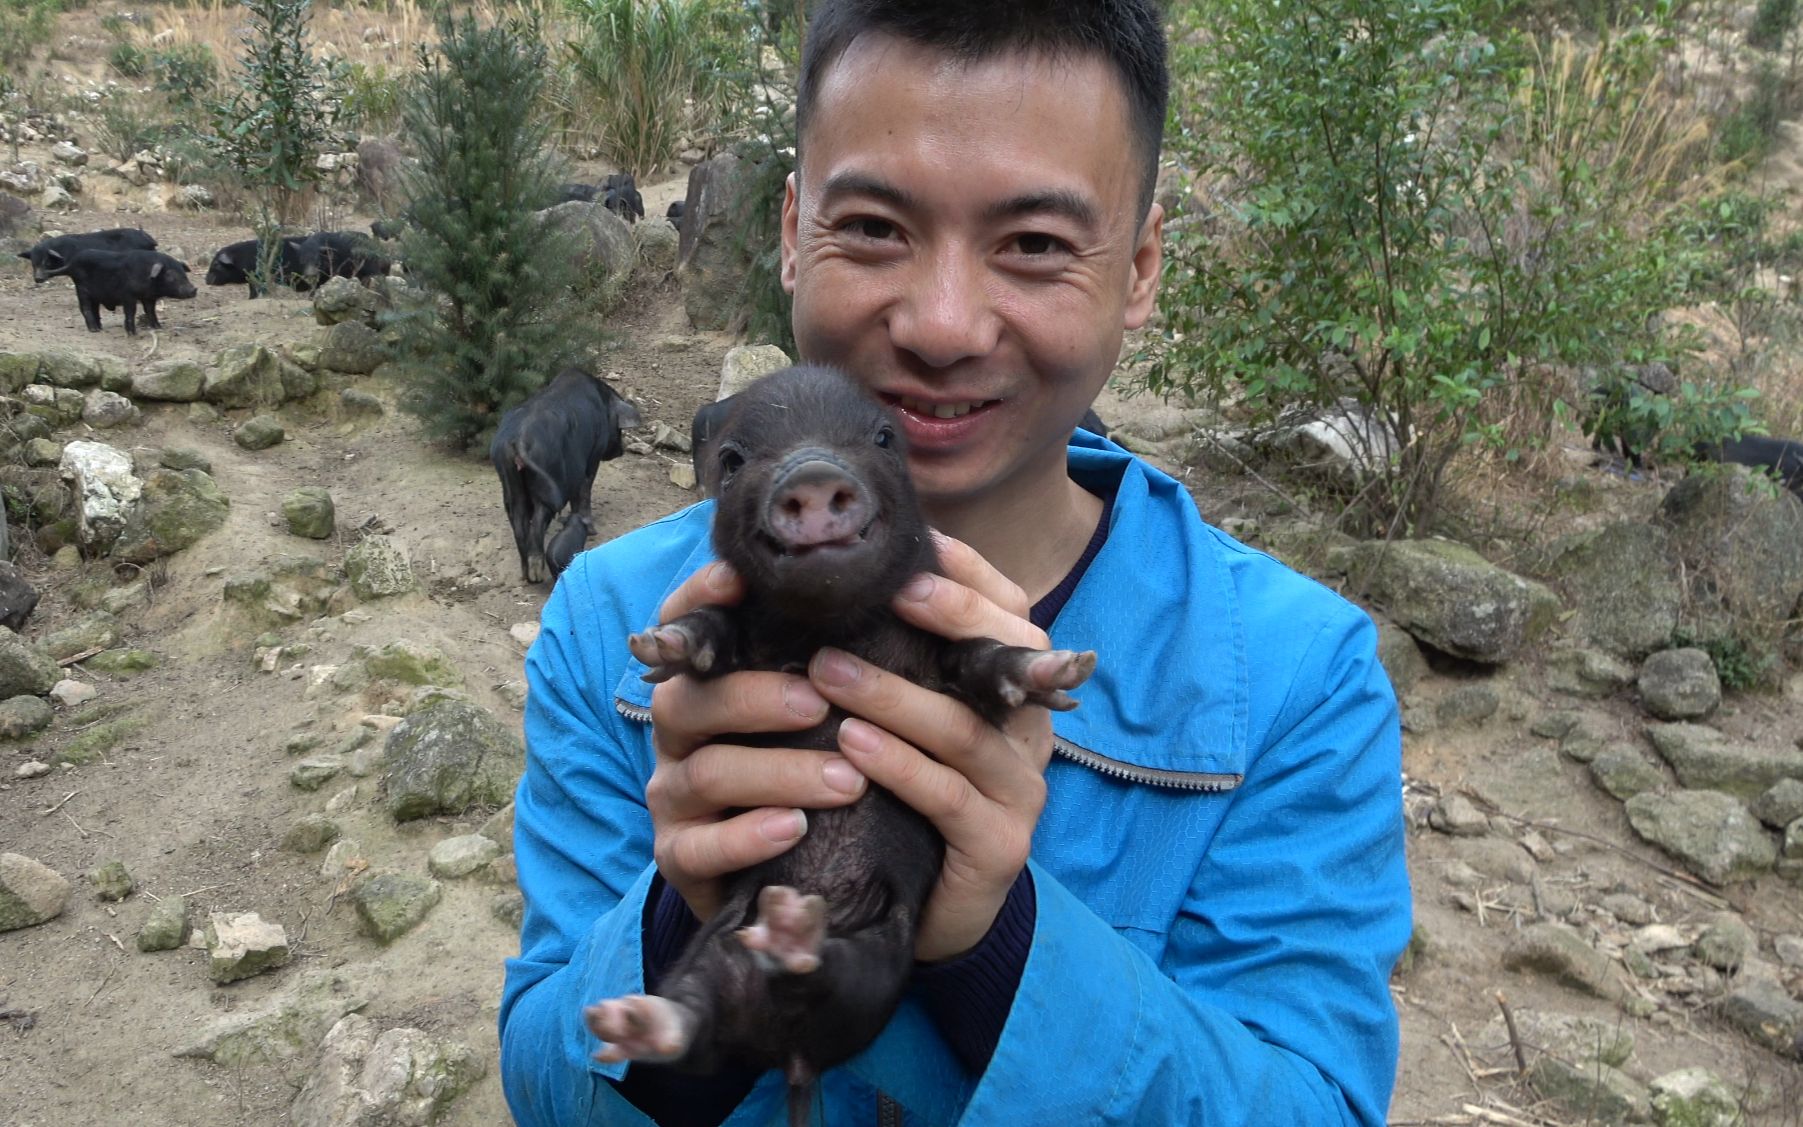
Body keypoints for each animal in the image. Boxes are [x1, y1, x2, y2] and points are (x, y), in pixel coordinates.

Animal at [46, 249, 197, 334]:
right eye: (170, 275)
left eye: (183, 273)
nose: (194, 289)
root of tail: (71, 264)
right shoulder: (128, 295)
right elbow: (130, 312)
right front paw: (132, 334)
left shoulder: (149, 297)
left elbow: (150, 311)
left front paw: (158, 328)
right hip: (81, 289)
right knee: (85, 308)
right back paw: (94, 330)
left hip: (95, 295)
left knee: (95, 309)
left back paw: (100, 327)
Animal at [589, 364, 1097, 1126]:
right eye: (733, 460)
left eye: (883, 437)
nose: (813, 472)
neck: (836, 629)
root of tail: (793, 1052)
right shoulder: (743, 636)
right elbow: (711, 632)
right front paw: (658, 646)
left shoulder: (940, 654)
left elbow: (983, 660)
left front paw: (1064, 673)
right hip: (719, 954)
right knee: (695, 1016)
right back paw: (629, 1016)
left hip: (878, 961)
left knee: (822, 977)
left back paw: (790, 936)